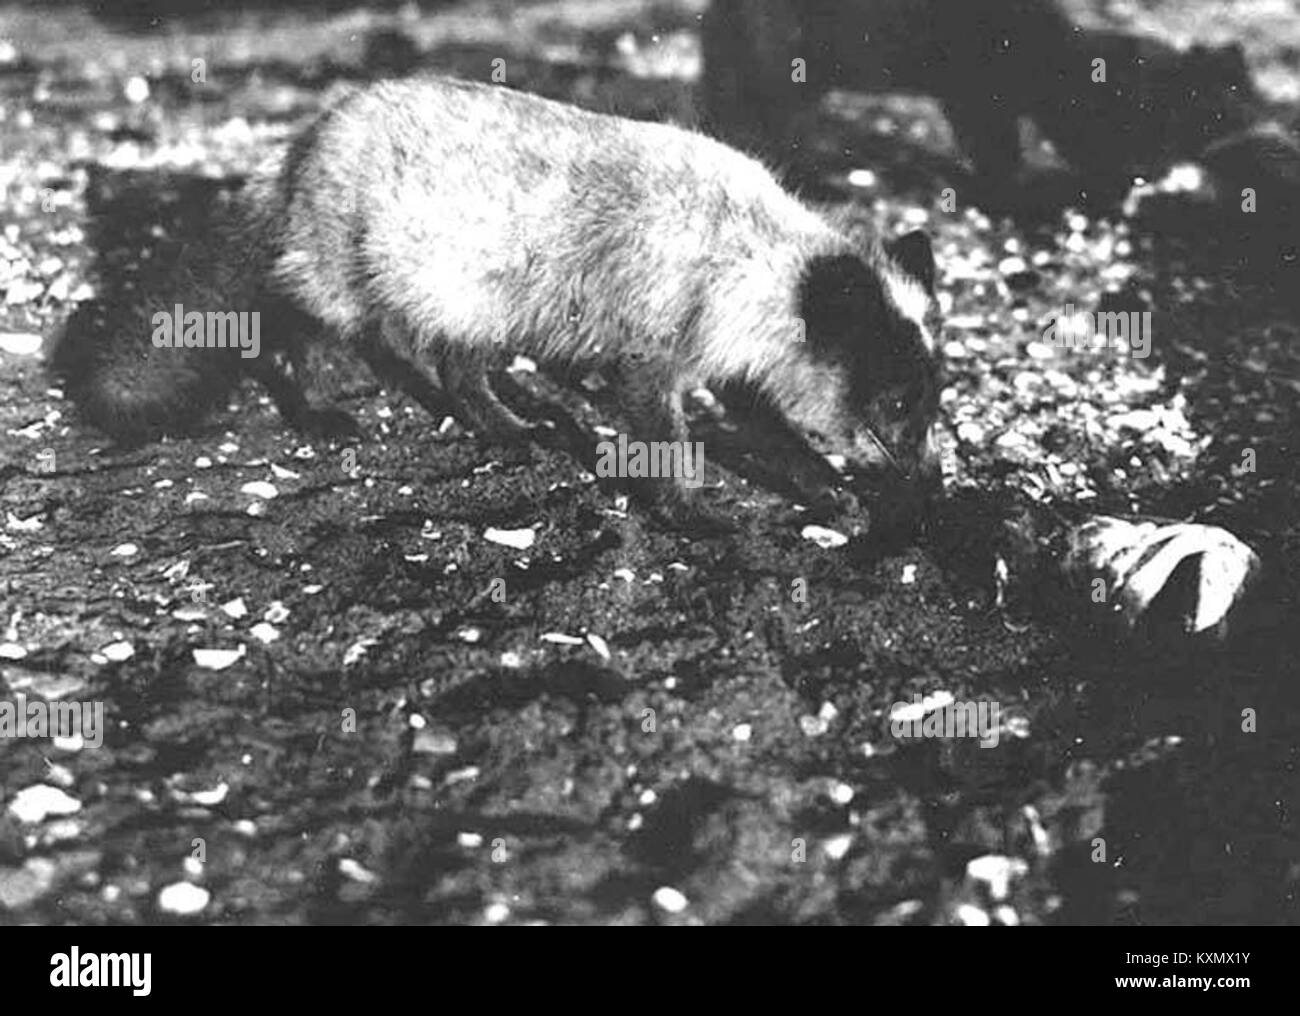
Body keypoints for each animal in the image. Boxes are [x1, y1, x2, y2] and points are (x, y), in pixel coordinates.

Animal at [53, 75, 943, 527]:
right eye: (901, 403)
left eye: (930, 404)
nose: (926, 481)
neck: (748, 262)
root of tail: (305, 139)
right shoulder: (648, 369)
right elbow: (669, 449)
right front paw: (691, 514)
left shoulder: (730, 372)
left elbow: (783, 443)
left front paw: (829, 494)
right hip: (352, 278)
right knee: (297, 334)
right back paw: (324, 414)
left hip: (478, 303)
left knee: (449, 368)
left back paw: (507, 427)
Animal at [700, 0, 1260, 211]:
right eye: (1196, 110)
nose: (1245, 123)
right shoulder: (977, 100)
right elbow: (1002, 156)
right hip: (782, 68)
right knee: (762, 127)